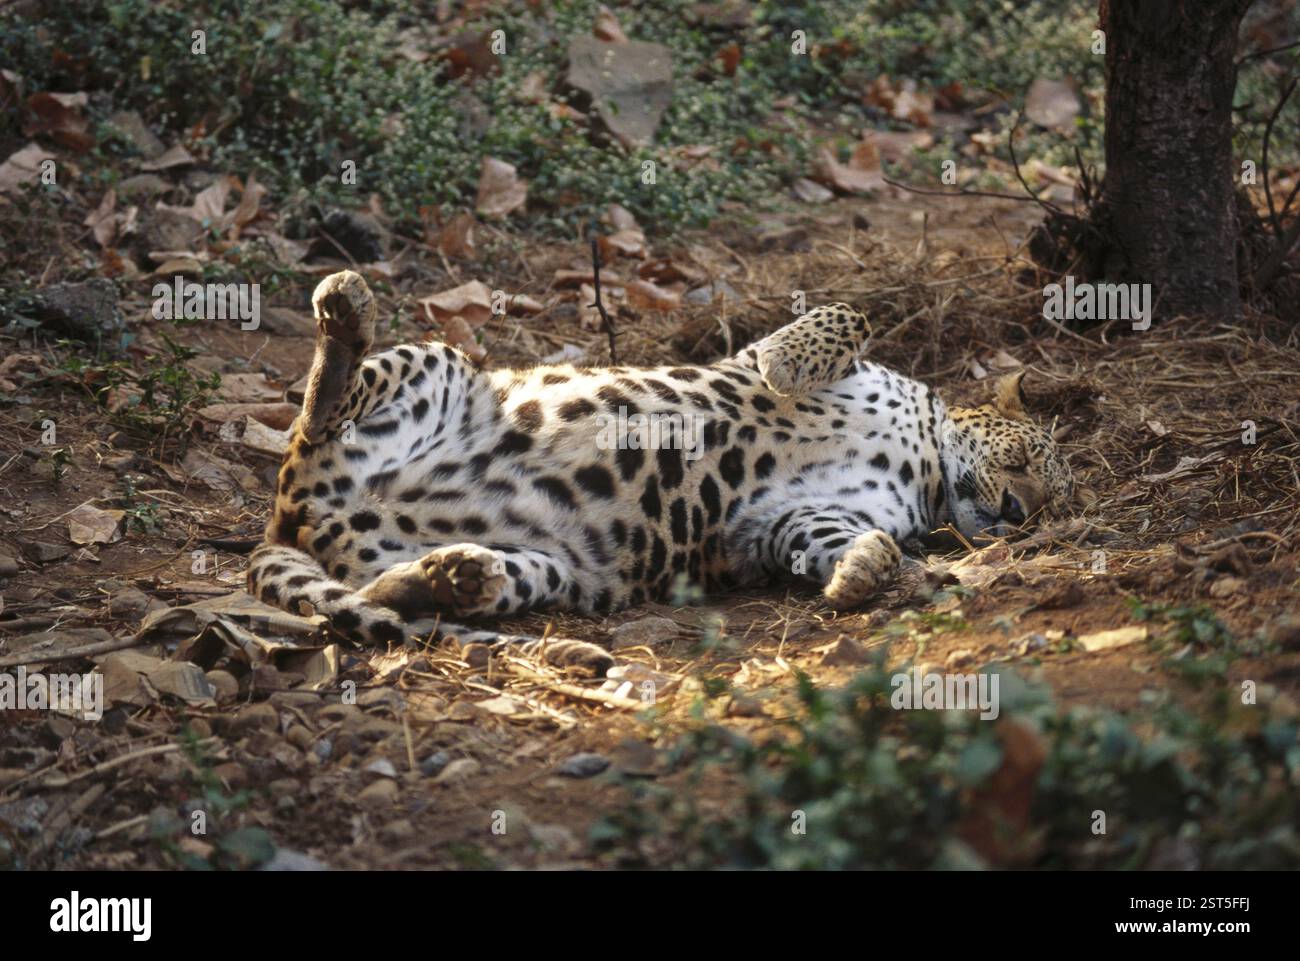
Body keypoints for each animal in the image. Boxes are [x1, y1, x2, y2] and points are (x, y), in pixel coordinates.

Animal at [248, 270, 1075, 676]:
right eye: (1027, 459)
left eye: (1046, 508)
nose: (1018, 511)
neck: (927, 463)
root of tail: (290, 521)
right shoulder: (756, 355)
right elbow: (840, 317)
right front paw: (789, 365)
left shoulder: (772, 524)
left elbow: (833, 535)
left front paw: (864, 569)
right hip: (437, 363)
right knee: (321, 406)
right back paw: (344, 315)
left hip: (546, 566)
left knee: (383, 593)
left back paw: (448, 576)